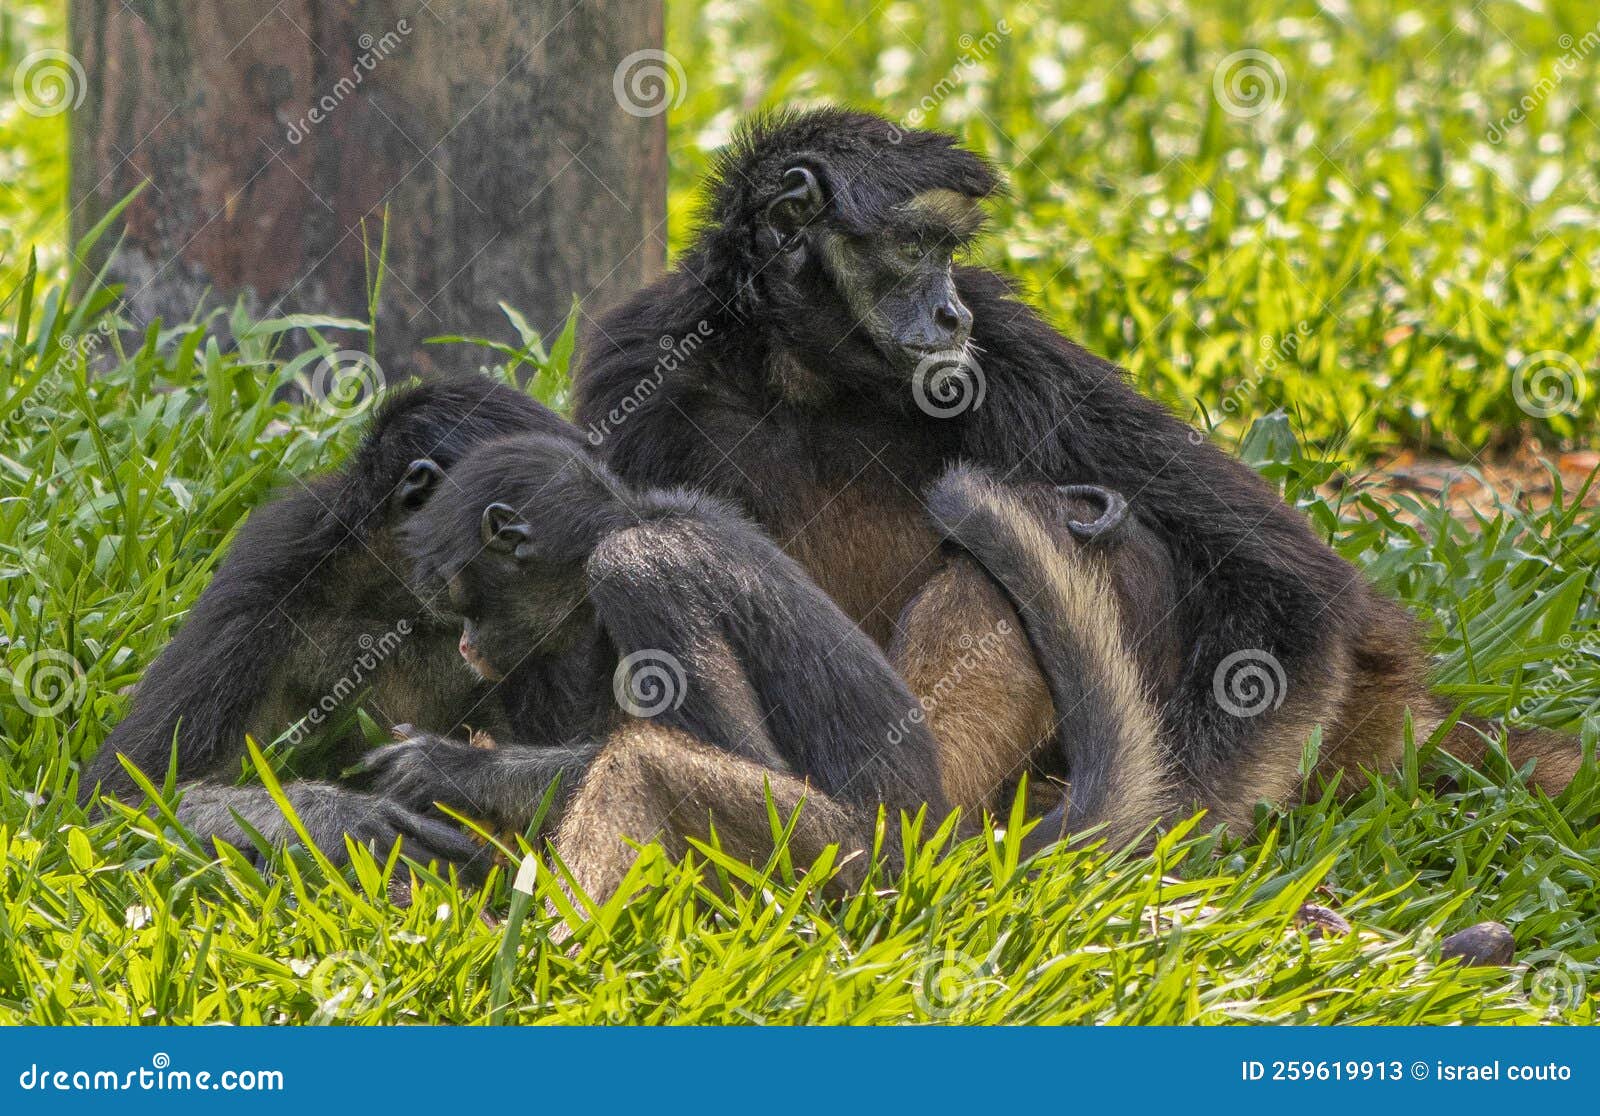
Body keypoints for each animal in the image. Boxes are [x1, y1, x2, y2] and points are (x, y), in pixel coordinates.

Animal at [81, 375, 571, 870]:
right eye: (508, 539)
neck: (401, 602)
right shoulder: (267, 573)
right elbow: (114, 802)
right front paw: (349, 820)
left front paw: (448, 772)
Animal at [572, 106, 1582, 844]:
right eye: (913, 247)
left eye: (950, 257)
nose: (945, 312)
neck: (803, 380)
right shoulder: (641, 363)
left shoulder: (999, 341)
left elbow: (1294, 584)